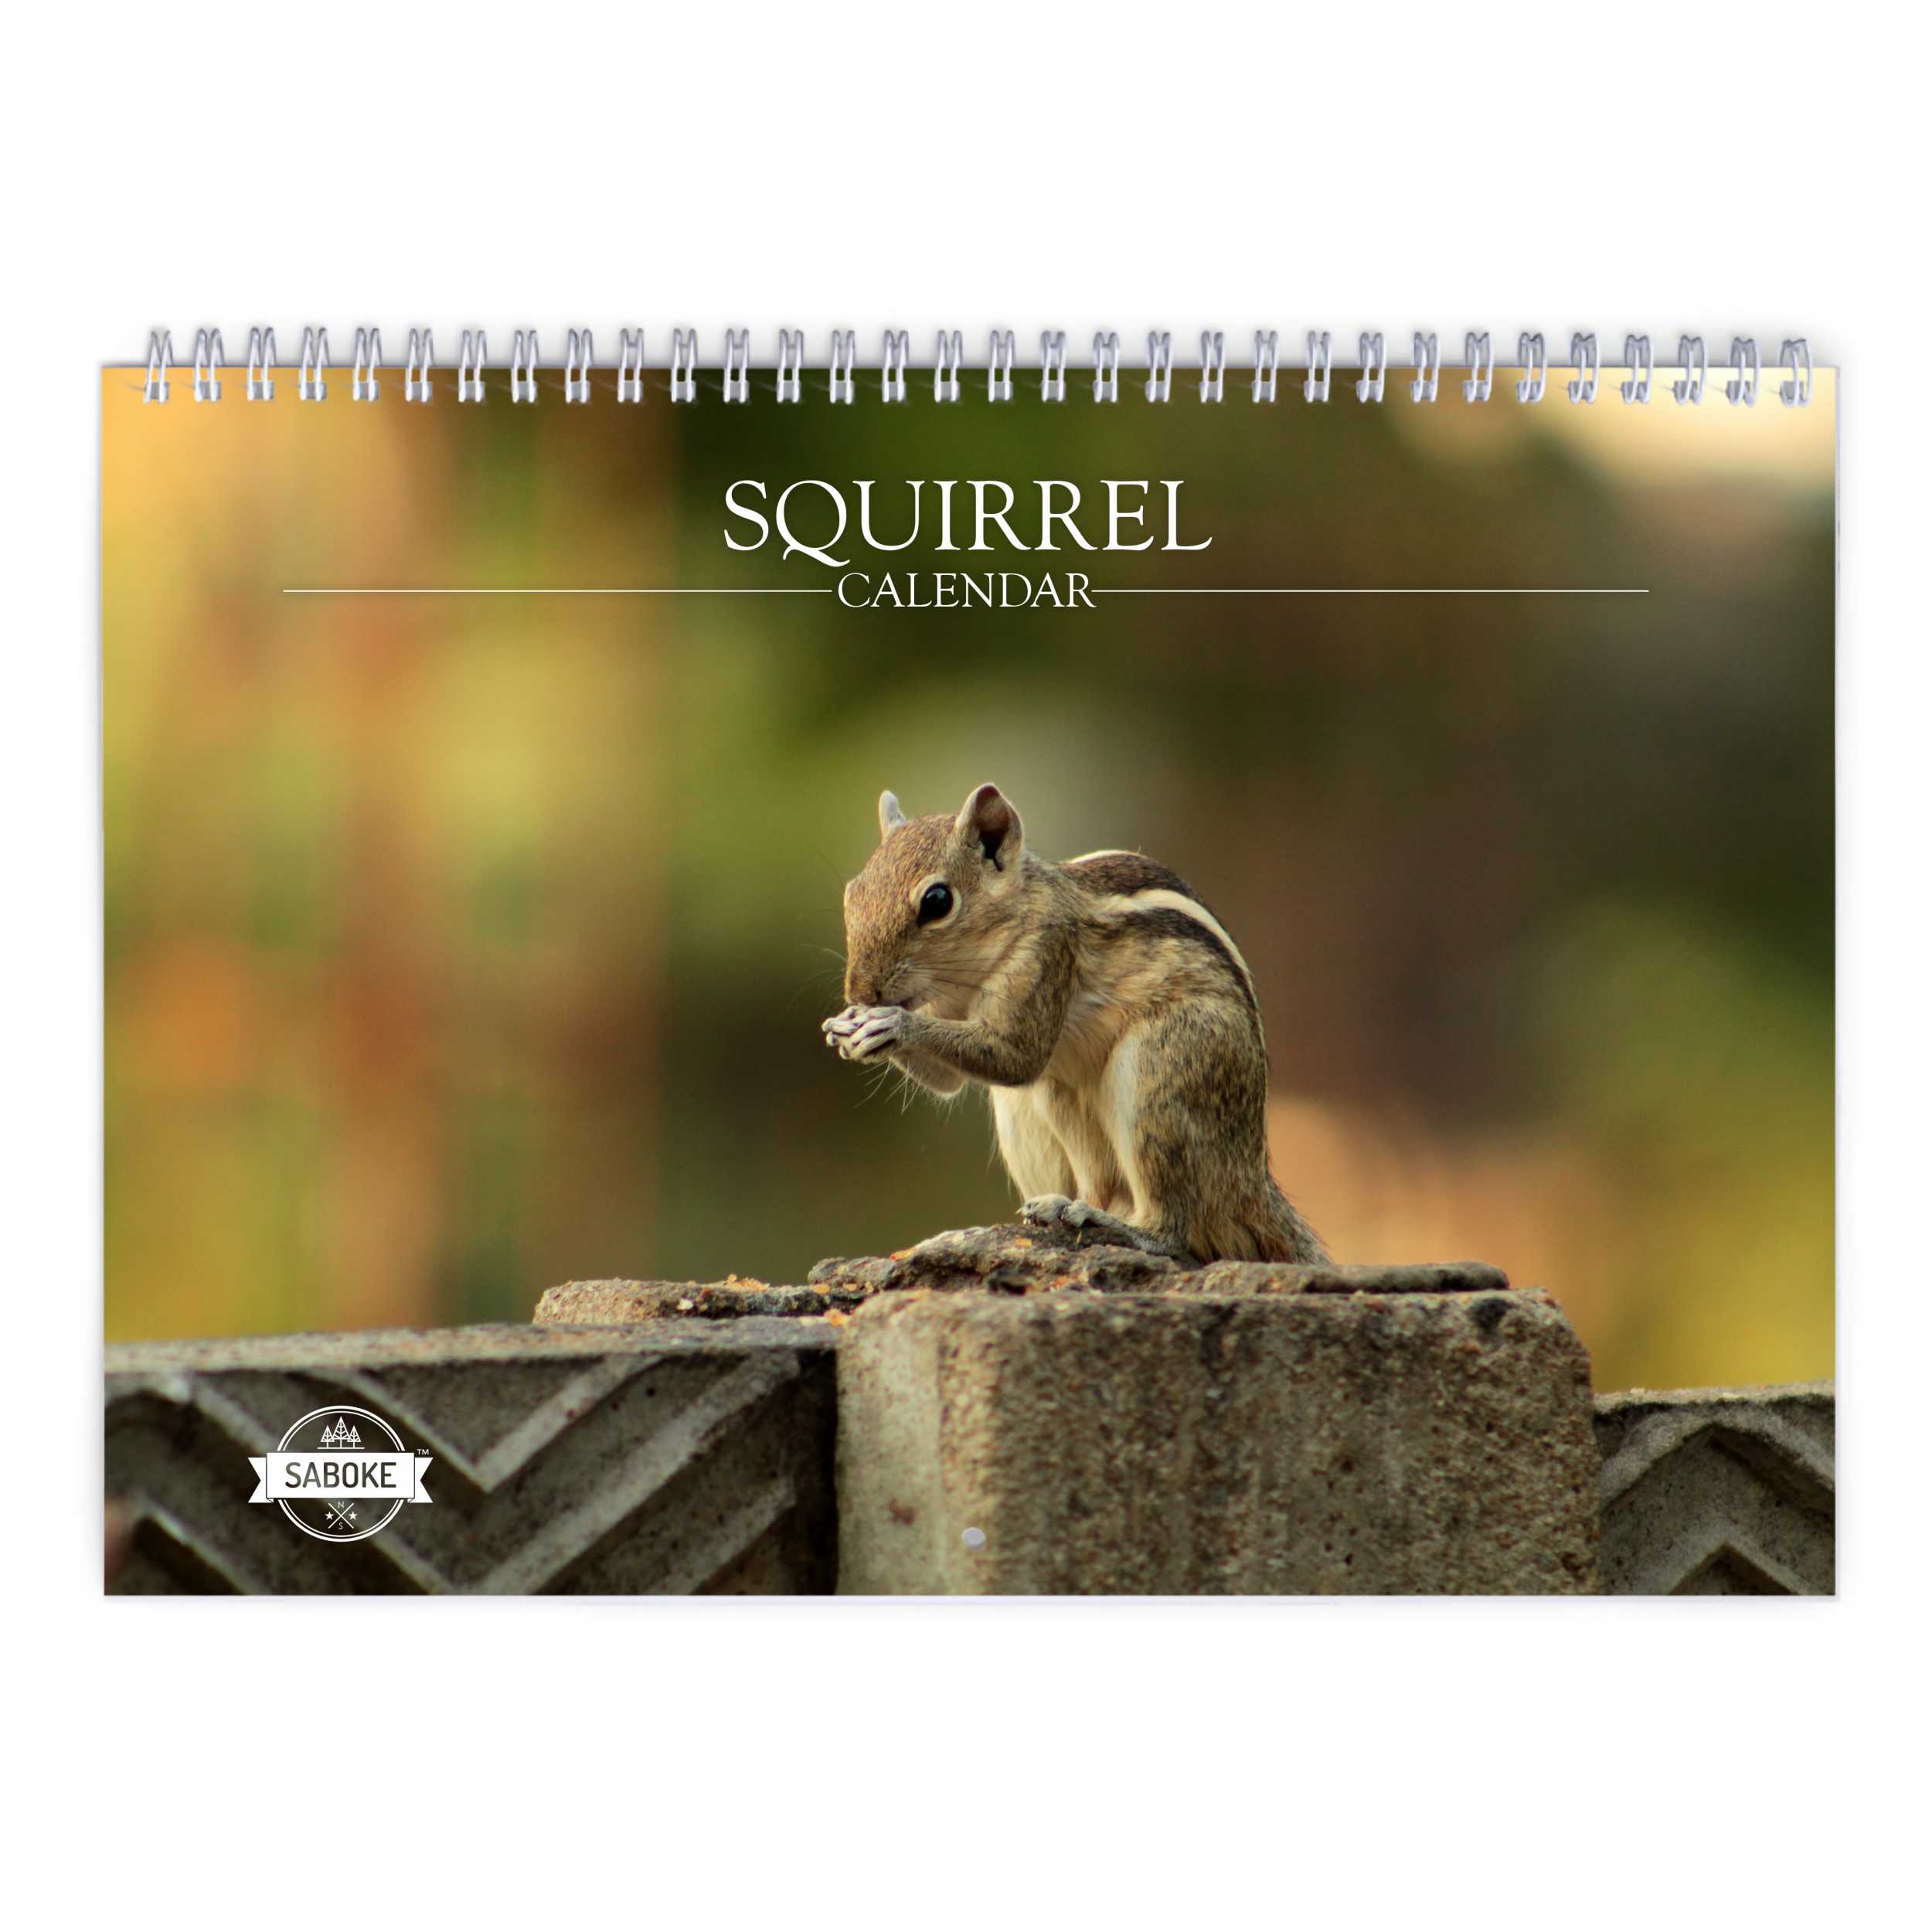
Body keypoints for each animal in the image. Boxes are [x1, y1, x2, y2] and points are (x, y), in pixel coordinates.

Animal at [822, 782, 1329, 1265]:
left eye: (937, 901)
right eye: (852, 892)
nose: (861, 992)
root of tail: (1252, 1180)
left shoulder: (1046, 956)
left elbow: (1017, 1057)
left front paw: (890, 1024)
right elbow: (949, 1082)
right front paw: (845, 1028)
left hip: (1161, 1072)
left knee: (1172, 1229)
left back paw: (1116, 1225)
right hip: (1039, 1108)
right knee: (1098, 1183)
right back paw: (1061, 1209)